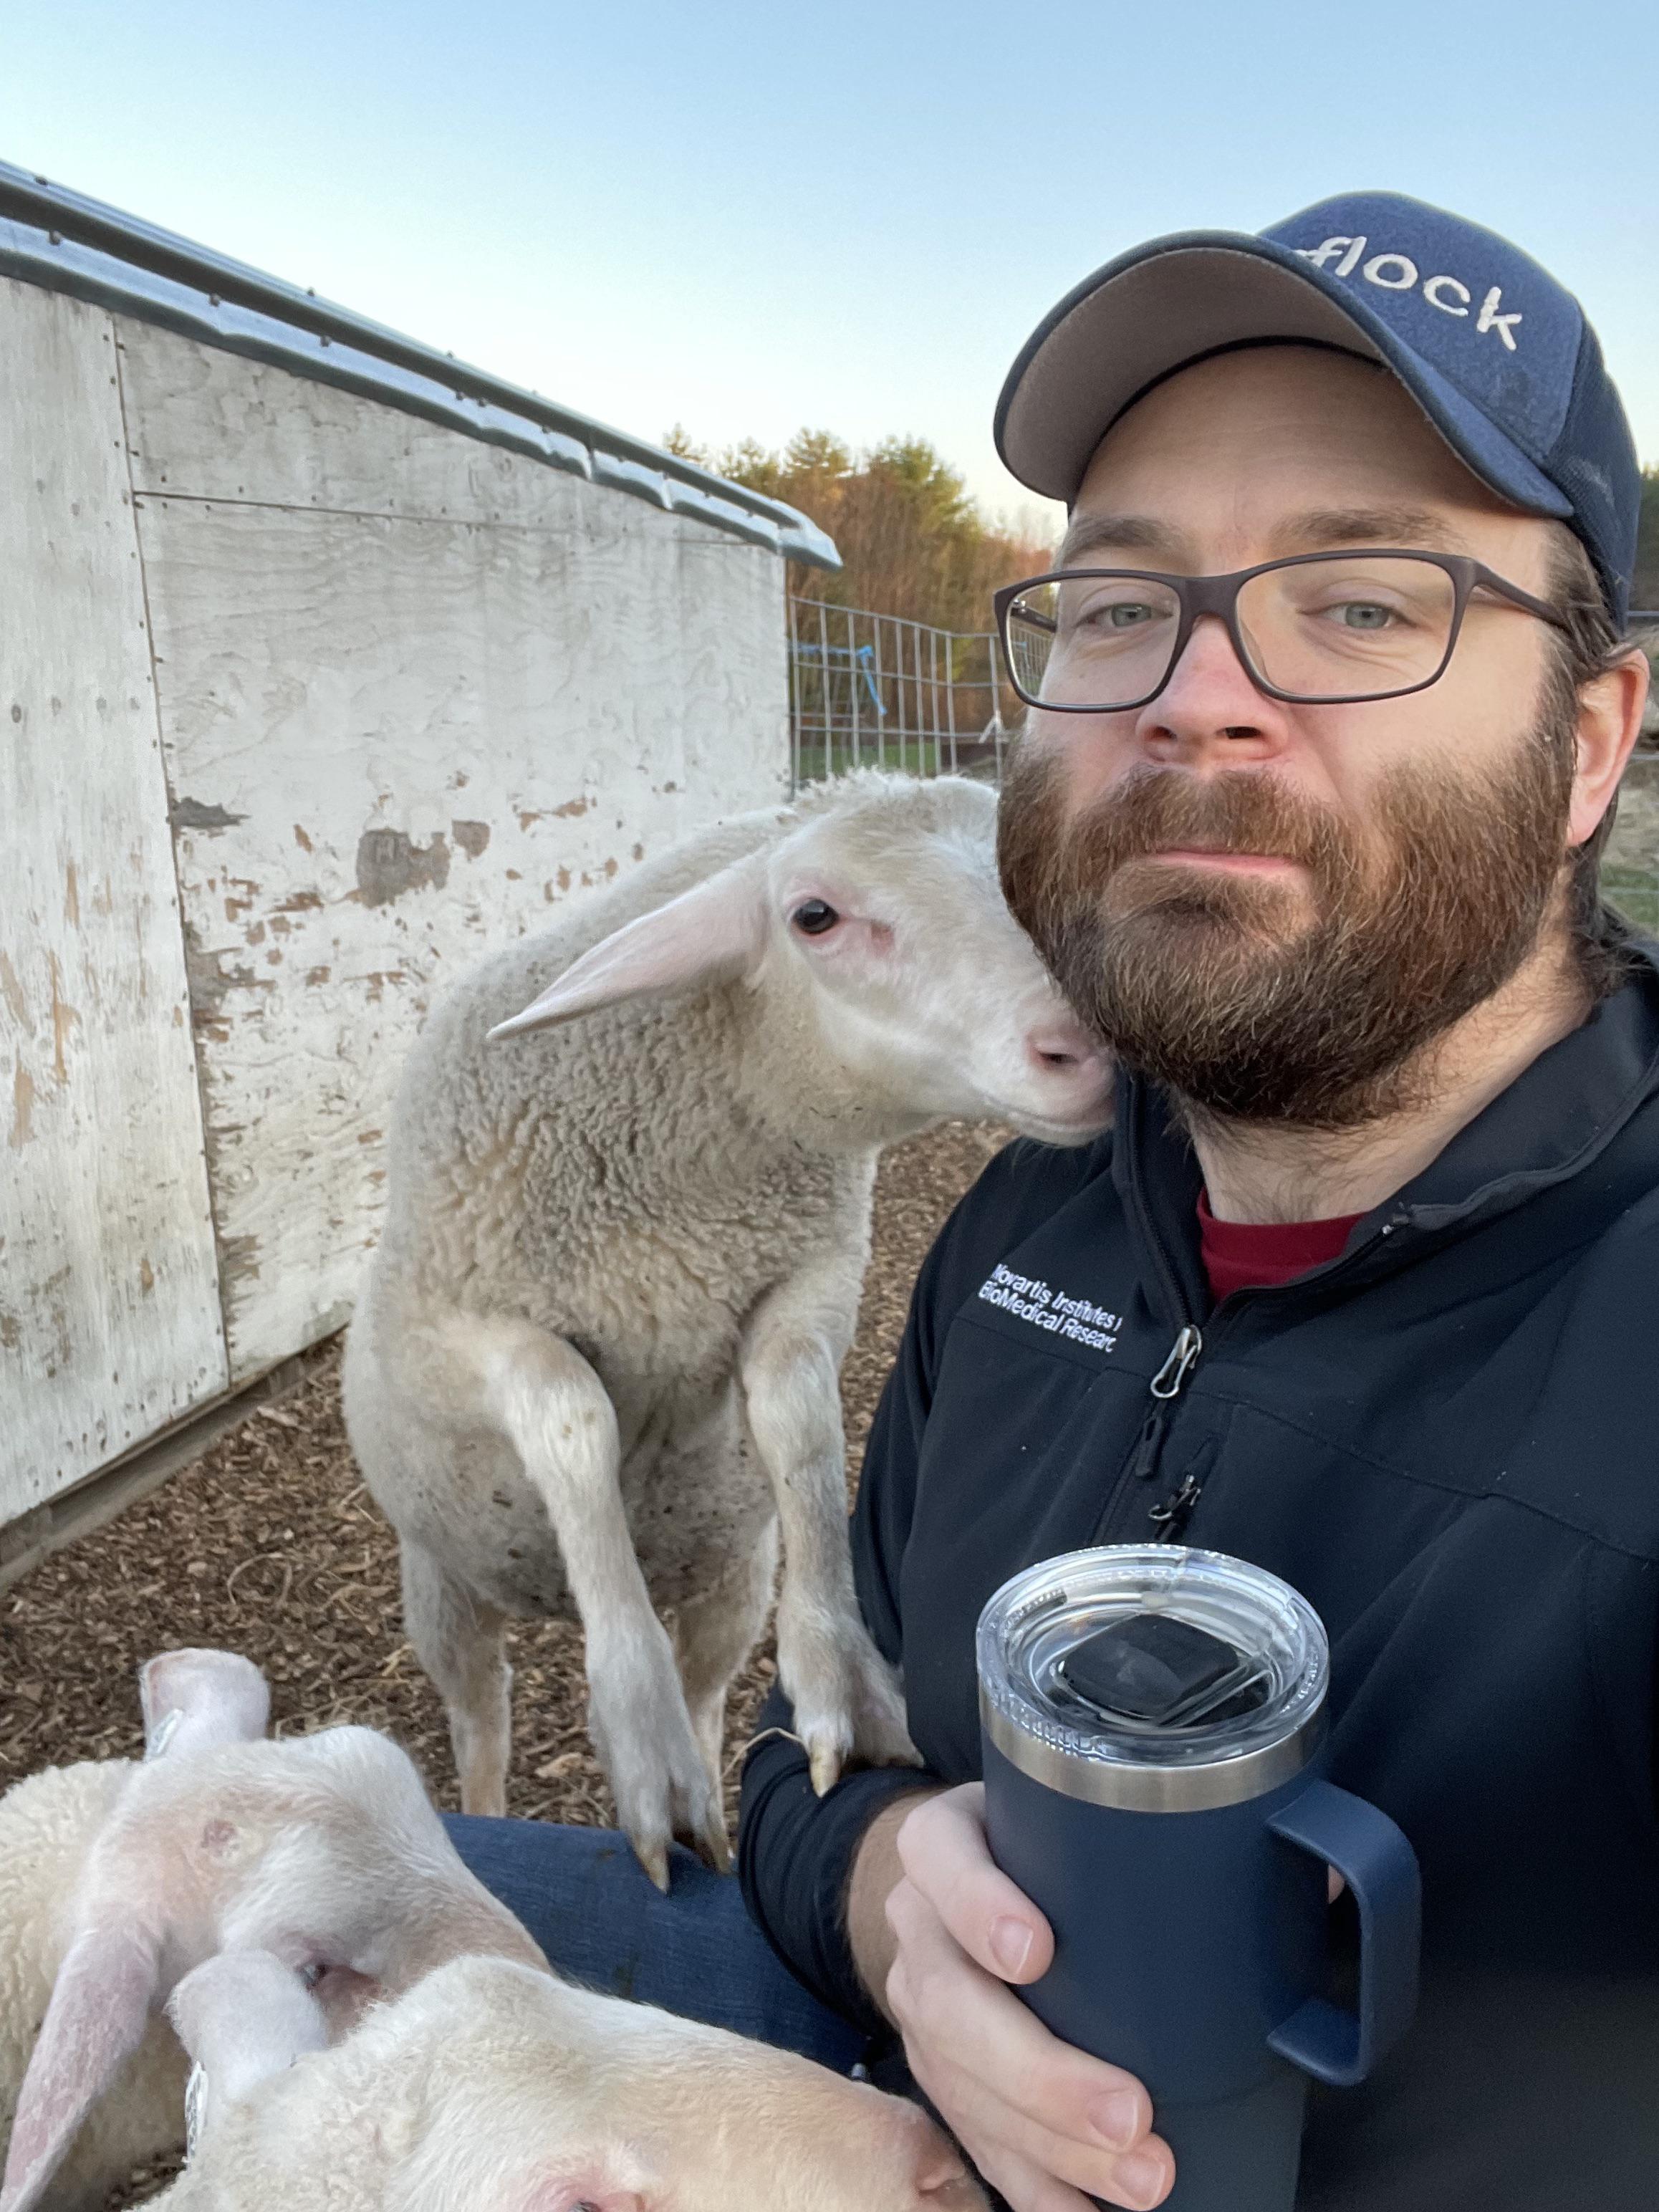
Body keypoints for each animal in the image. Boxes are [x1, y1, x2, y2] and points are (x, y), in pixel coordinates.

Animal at [342, 770, 1113, 1886]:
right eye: (814, 916)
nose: (1084, 1050)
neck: (681, 1211)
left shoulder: (811, 1276)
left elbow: (796, 1416)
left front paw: (838, 1681)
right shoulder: (451, 1336)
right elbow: (572, 1409)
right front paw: (640, 1741)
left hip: (727, 1579)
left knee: (709, 1693)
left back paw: (711, 1803)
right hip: (441, 1585)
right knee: (481, 1723)